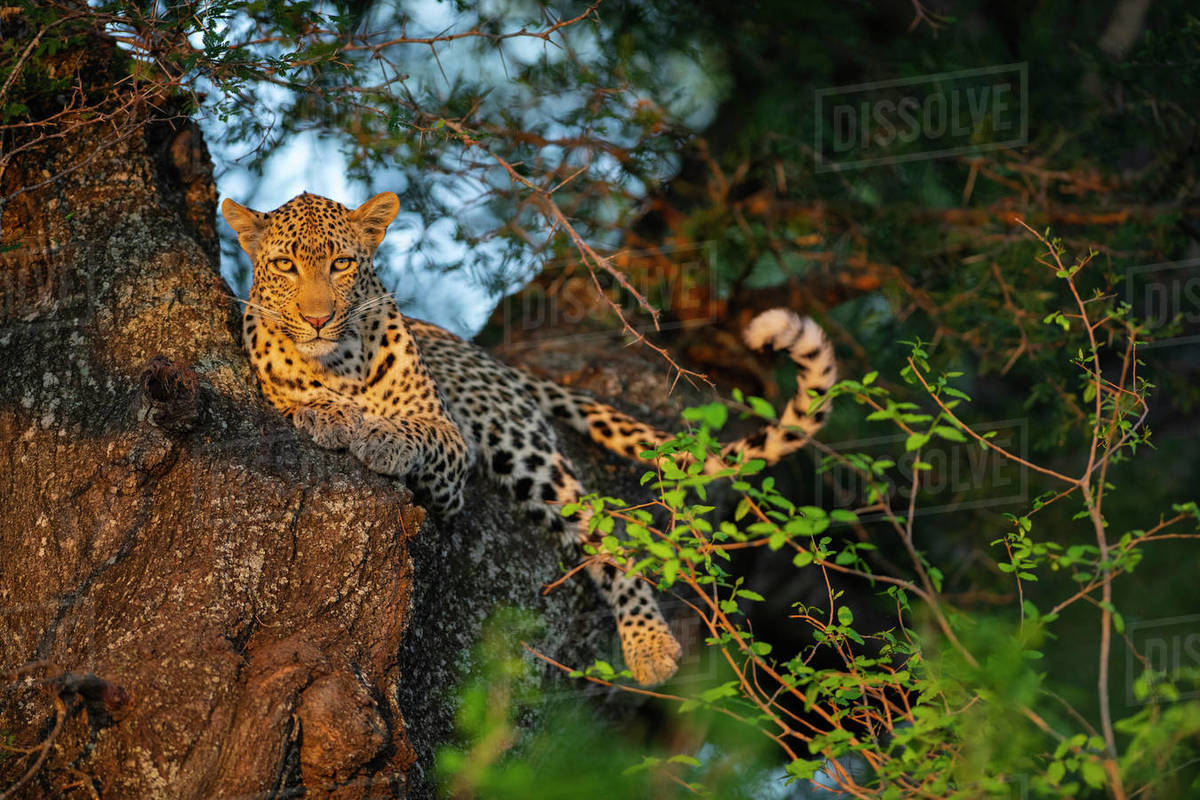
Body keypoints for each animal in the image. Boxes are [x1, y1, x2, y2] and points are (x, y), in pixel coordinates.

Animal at [221, 191, 838, 686]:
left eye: (342, 263)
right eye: (284, 265)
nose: (318, 319)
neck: (341, 362)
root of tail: (493, 360)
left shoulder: (450, 447)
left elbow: (415, 430)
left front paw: (376, 434)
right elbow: (306, 399)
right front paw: (328, 412)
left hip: (524, 448)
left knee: (607, 535)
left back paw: (649, 642)